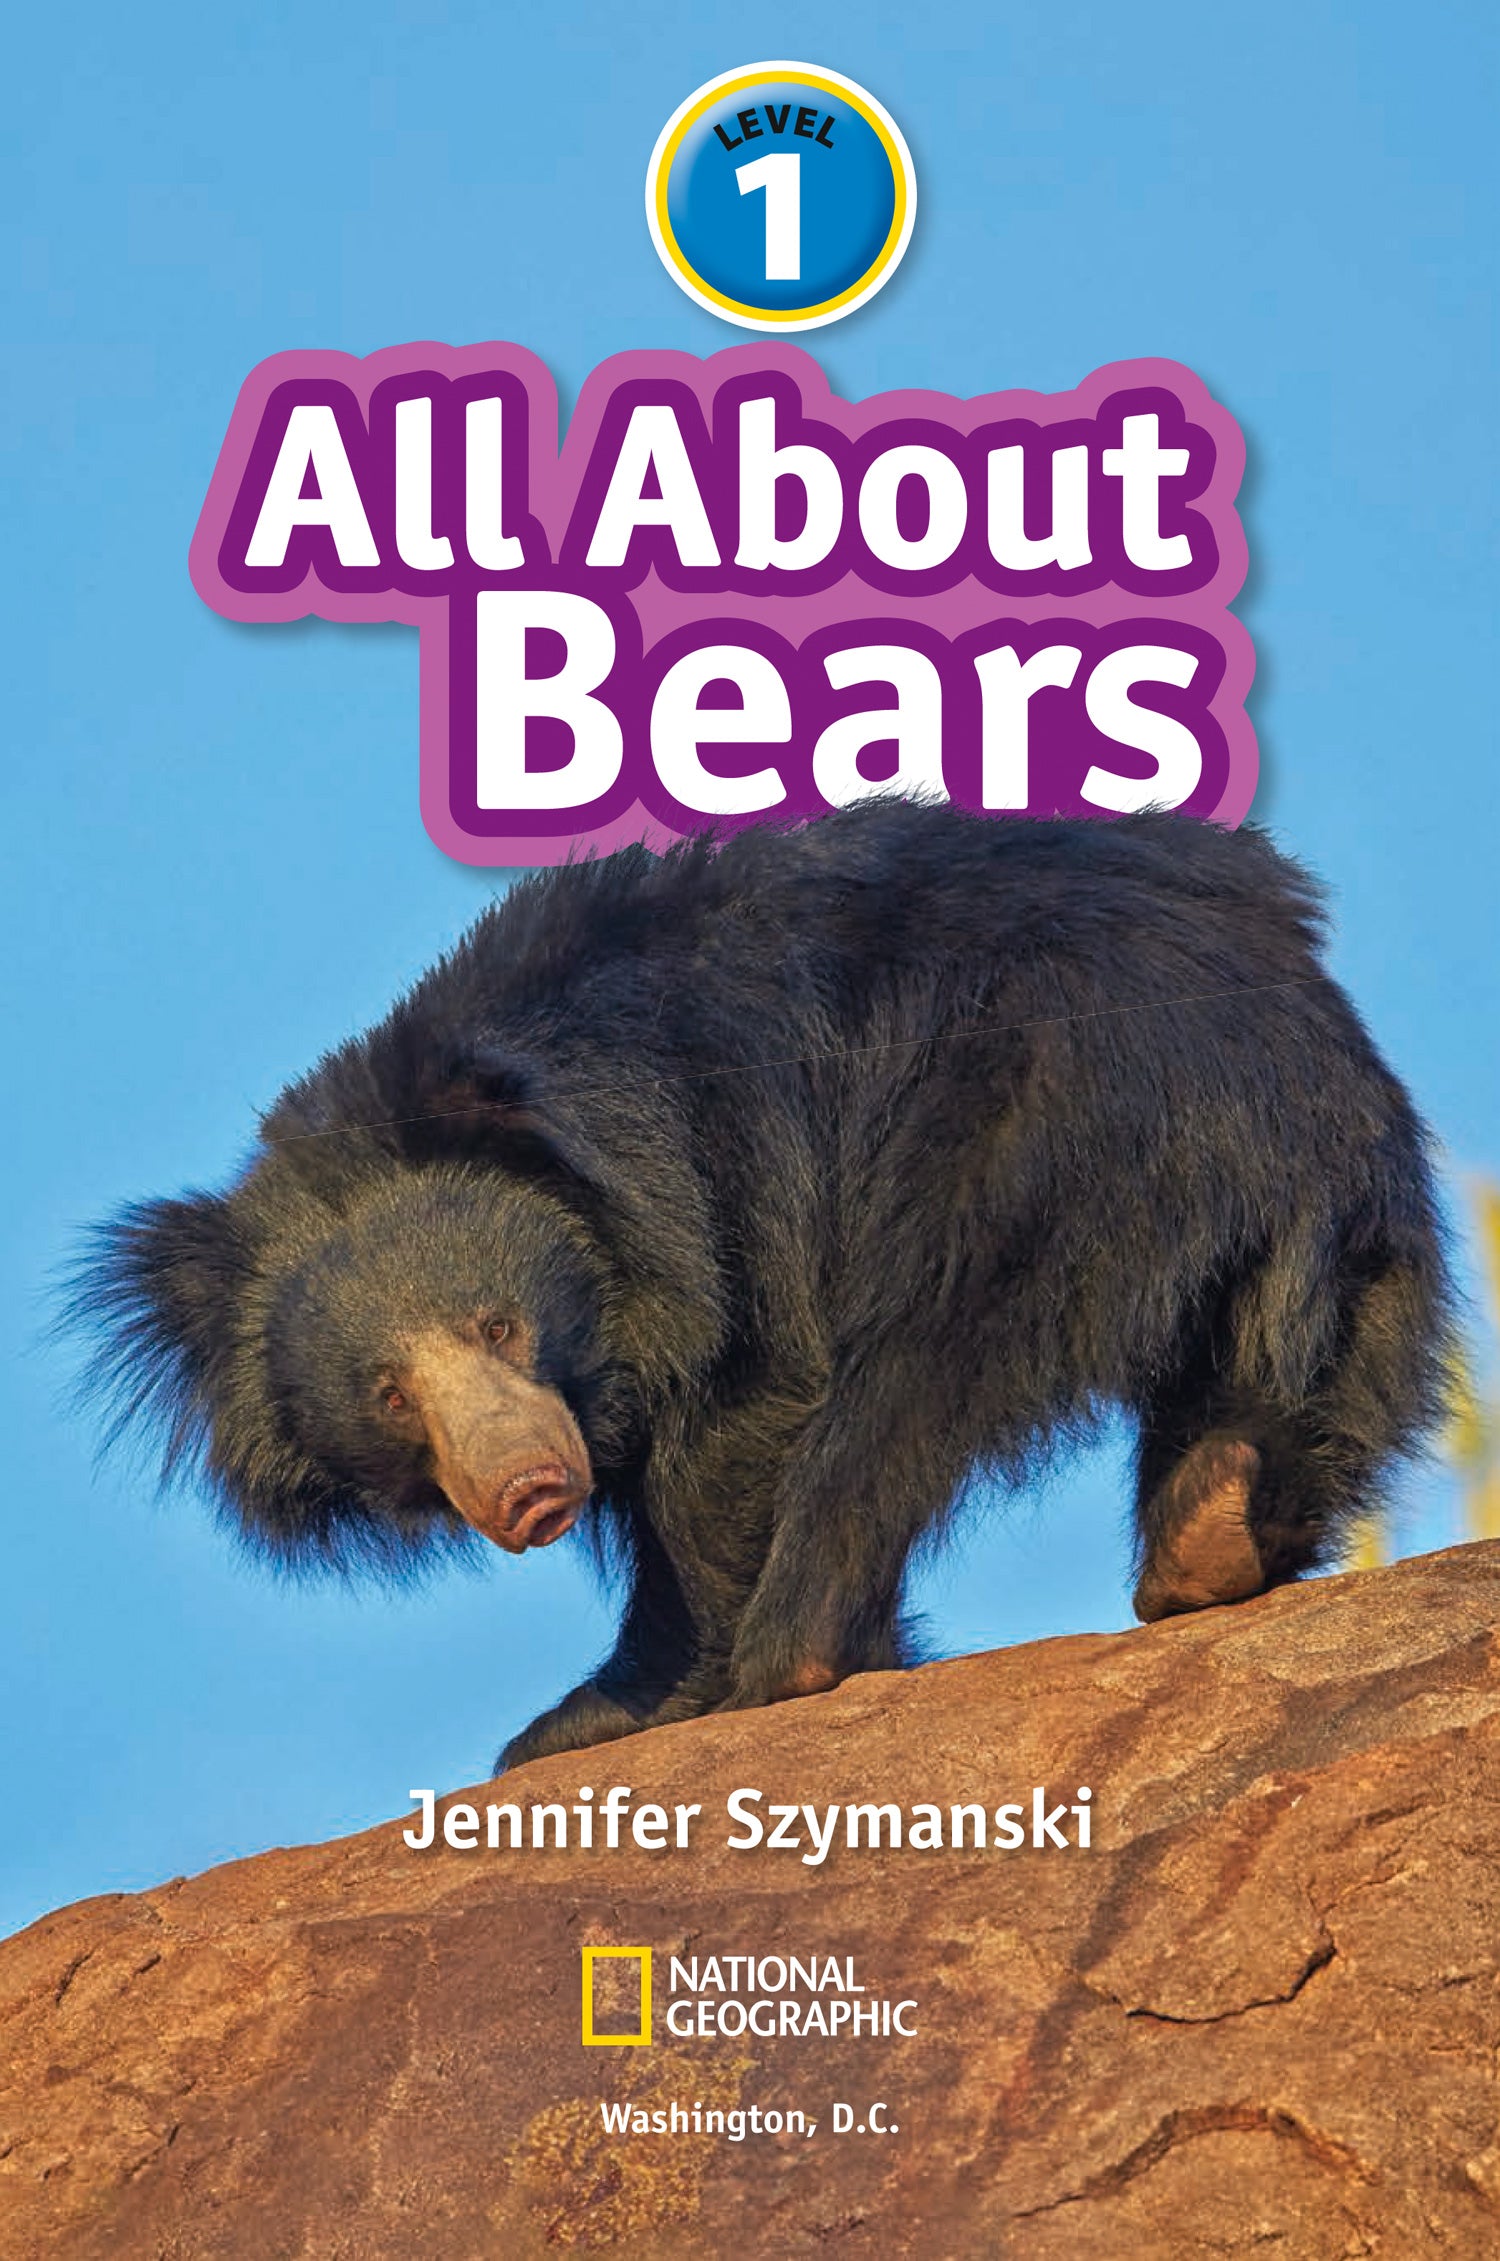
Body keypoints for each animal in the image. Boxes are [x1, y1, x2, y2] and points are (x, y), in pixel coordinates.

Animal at [76, 800, 1454, 1769]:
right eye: (390, 1393)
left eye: (498, 1323)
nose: (528, 1489)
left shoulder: (727, 1161)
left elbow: (734, 1416)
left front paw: (603, 1711)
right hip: (1347, 1192)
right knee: (1327, 1368)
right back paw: (1212, 1532)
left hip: (1026, 1124)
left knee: (907, 1374)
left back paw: (796, 1654)